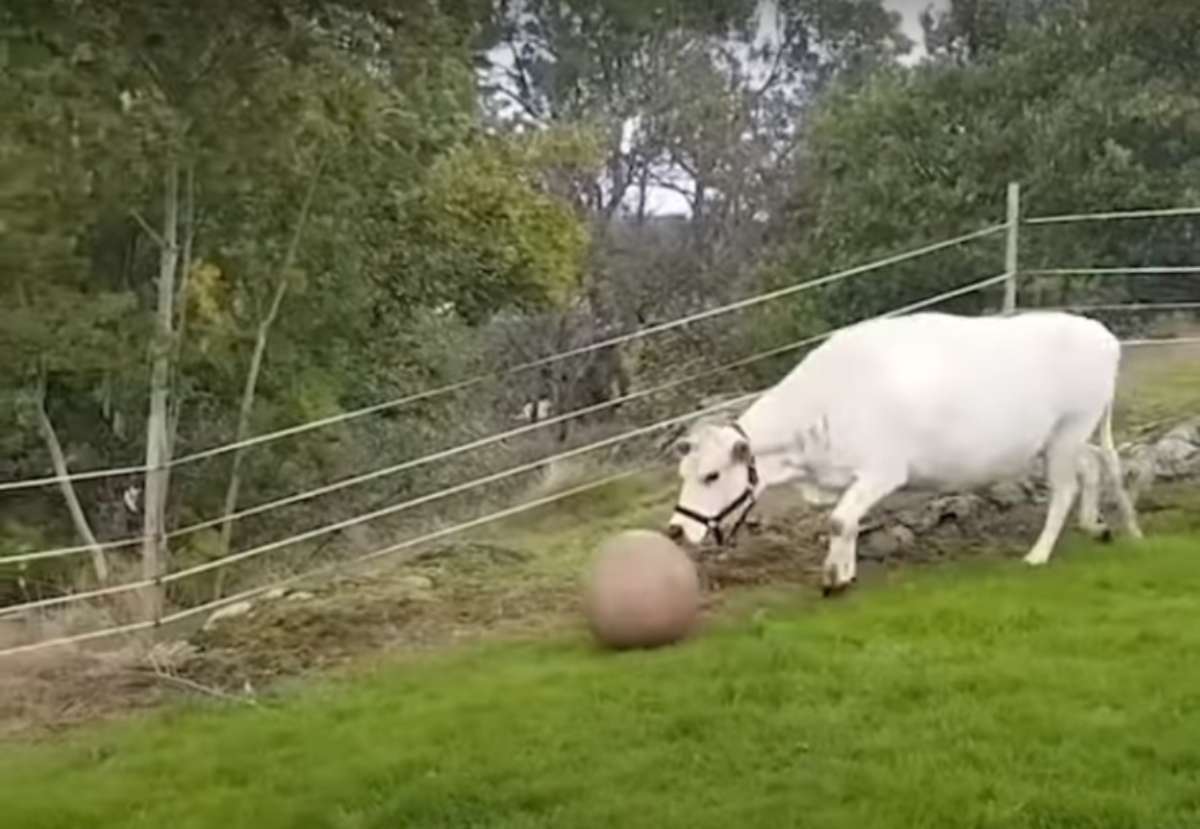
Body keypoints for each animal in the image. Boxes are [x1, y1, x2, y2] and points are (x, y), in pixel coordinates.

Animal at [666, 310, 1143, 594]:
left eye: (711, 475)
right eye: (683, 473)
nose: (674, 530)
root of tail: (1101, 333)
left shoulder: (883, 470)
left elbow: (840, 519)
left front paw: (833, 579)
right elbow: (848, 521)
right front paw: (845, 571)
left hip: (1069, 429)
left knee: (1064, 488)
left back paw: (1038, 554)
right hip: (1065, 437)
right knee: (1093, 466)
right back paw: (1096, 526)